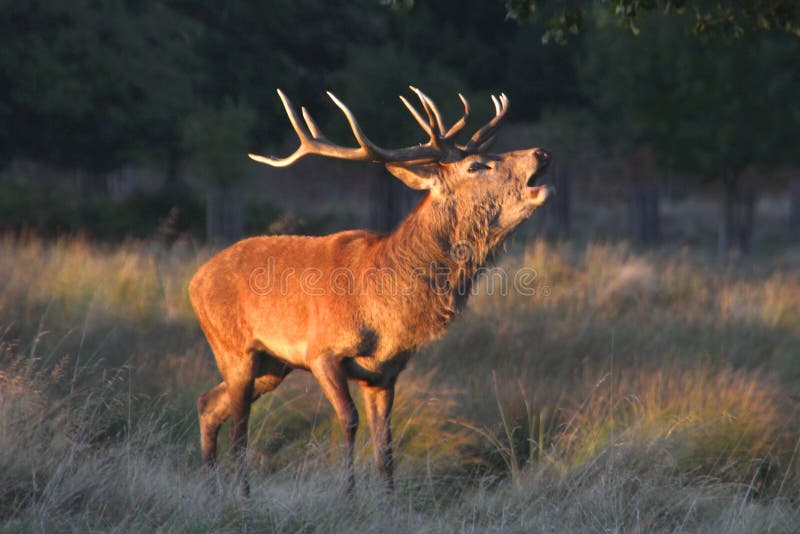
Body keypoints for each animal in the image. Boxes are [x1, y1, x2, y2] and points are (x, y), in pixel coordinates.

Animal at [189, 86, 552, 495]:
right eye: (476, 166)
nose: (542, 153)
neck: (382, 308)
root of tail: (195, 280)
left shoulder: (384, 372)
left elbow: (386, 443)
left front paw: (388, 498)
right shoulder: (321, 351)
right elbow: (348, 421)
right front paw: (346, 494)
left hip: (272, 365)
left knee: (208, 404)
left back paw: (211, 489)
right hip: (233, 348)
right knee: (238, 426)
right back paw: (241, 494)